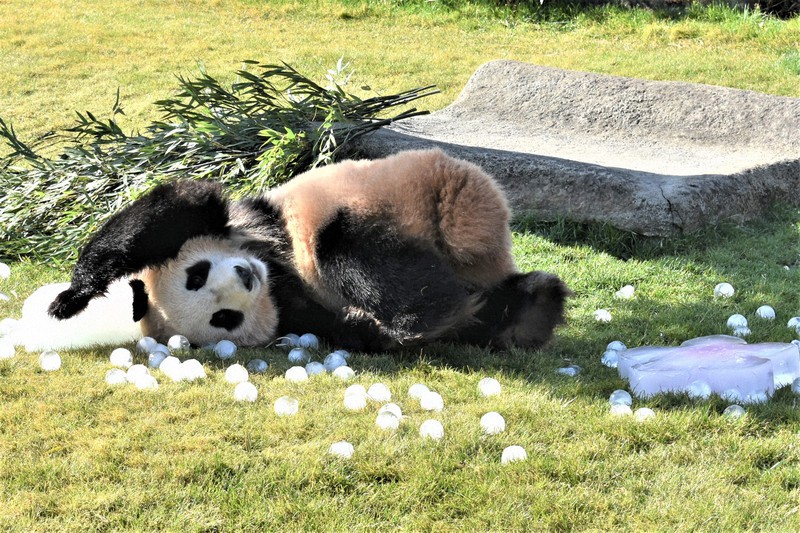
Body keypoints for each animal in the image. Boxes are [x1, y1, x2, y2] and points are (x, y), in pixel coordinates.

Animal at [47, 149, 570, 352]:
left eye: (197, 273)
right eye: (223, 319)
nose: (244, 278)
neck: (275, 276)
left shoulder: (245, 223)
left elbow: (178, 207)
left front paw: (71, 298)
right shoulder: (295, 310)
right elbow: (332, 326)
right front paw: (363, 329)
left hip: (405, 193)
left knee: (346, 248)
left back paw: (423, 317)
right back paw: (528, 313)